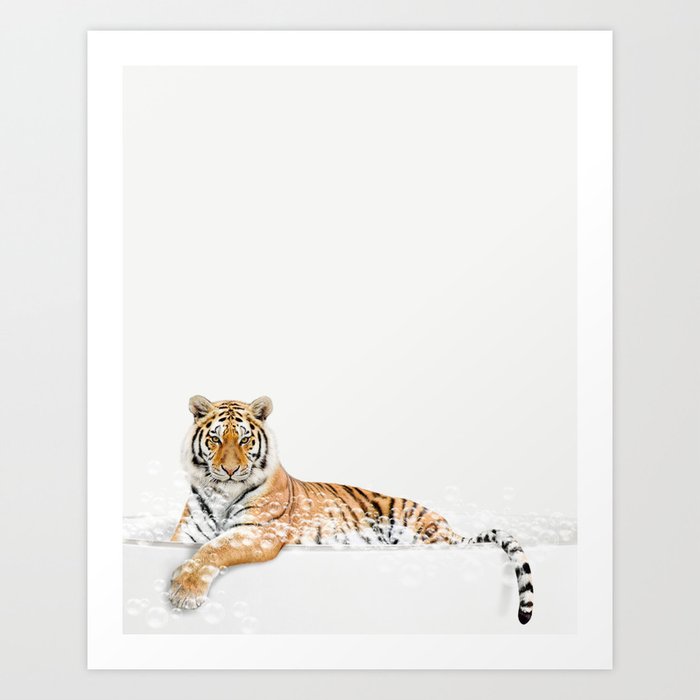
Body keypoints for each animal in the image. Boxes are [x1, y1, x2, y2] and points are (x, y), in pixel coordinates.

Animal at [169, 395, 534, 624]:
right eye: (216, 439)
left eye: (244, 440)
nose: (230, 470)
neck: (222, 493)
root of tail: (449, 527)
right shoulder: (185, 534)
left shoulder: (261, 531)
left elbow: (216, 548)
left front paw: (183, 592)